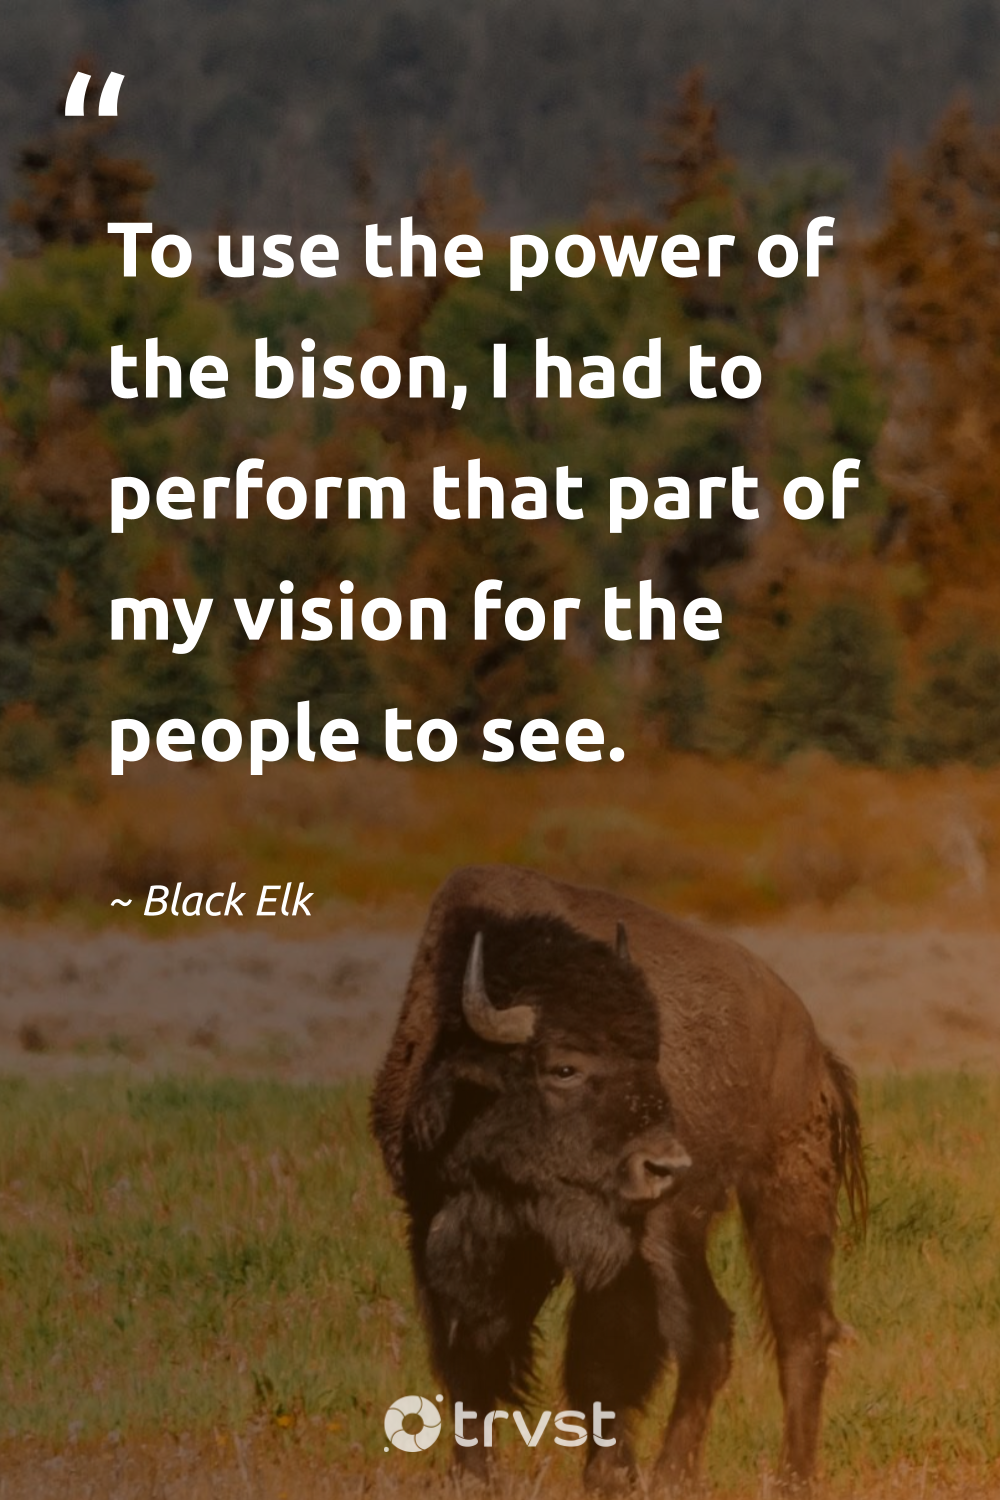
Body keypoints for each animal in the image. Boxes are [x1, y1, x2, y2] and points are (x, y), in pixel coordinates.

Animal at [371, 865, 866, 1490]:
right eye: (564, 1067)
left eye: (651, 1056)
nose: (664, 1164)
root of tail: (811, 1041)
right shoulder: (437, 1227)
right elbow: (467, 1358)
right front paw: (474, 1477)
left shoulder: (622, 1255)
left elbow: (601, 1364)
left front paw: (610, 1477)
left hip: (776, 1195)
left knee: (780, 1334)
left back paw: (733, 1477)